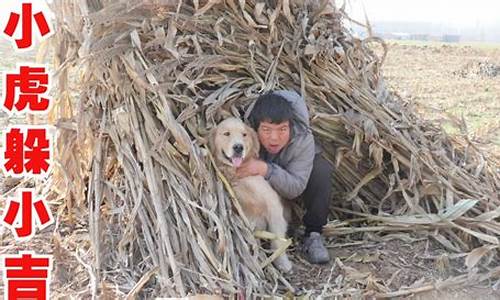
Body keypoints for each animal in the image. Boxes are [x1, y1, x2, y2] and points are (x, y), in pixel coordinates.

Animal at [207, 118, 292, 274]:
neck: (239, 176)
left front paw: (283, 263)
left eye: (244, 134)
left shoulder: (273, 205)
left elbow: (278, 239)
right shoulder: (245, 213)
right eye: (226, 133)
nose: (238, 147)